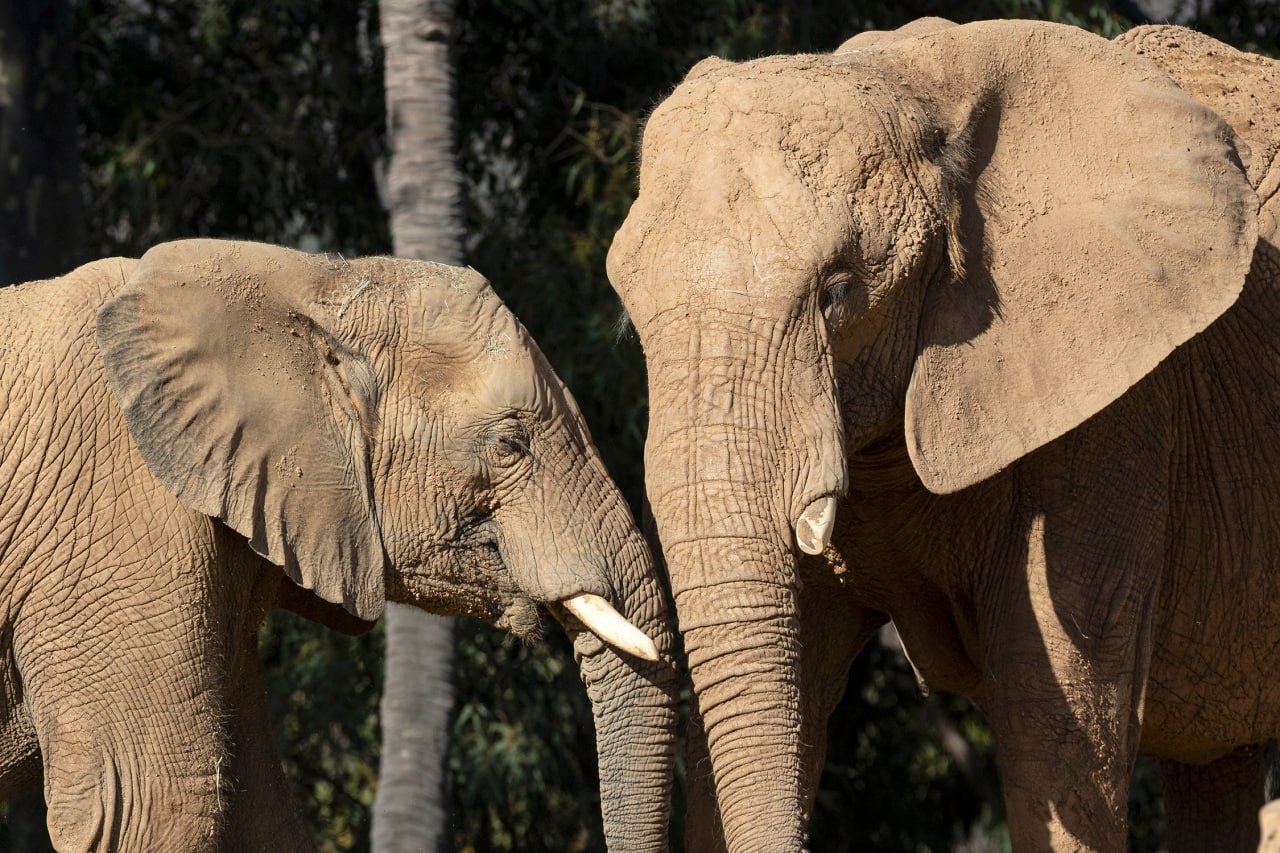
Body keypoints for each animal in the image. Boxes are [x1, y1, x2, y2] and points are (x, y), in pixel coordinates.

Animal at [606, 17, 1280, 853]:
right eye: (628, 304)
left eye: (838, 292)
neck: (913, 83)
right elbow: (787, 678)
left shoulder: (1117, 406)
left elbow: (1055, 725)